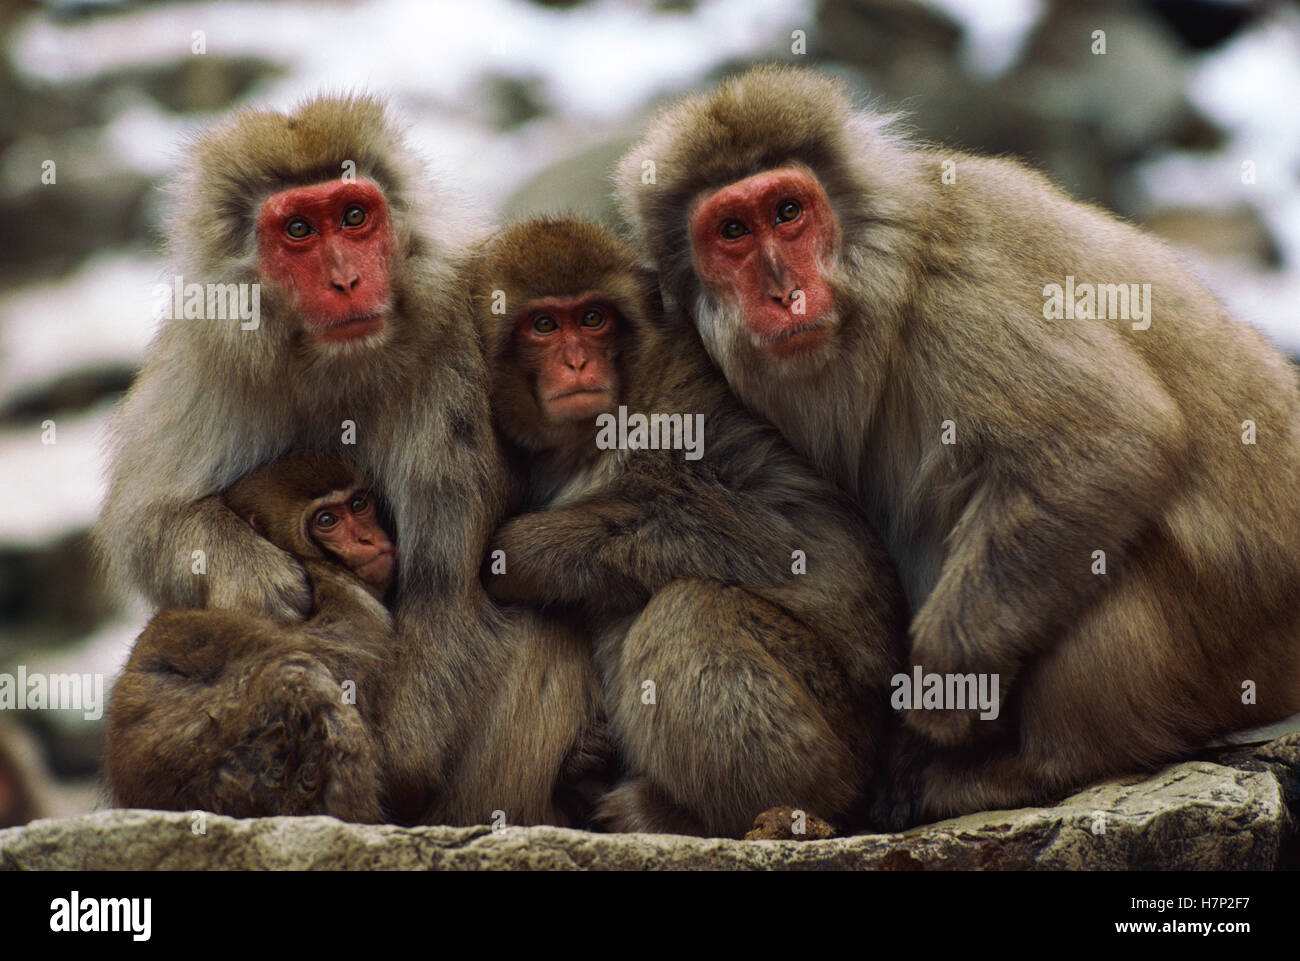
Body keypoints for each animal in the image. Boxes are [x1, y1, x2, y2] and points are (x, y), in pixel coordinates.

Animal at [105, 451, 396, 821]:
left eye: (359, 504)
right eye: (327, 520)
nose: (367, 540)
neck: (313, 564)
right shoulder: (359, 608)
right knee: (301, 680)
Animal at [473, 217, 904, 838]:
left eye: (593, 319)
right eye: (545, 324)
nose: (577, 362)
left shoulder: (677, 413)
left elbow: (806, 541)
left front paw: (525, 553)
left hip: (839, 727)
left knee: (691, 609)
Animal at [614, 65, 1300, 824]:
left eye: (788, 212)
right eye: (732, 230)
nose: (782, 291)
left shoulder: (955, 285)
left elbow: (1103, 443)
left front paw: (939, 701)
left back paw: (1035, 768)